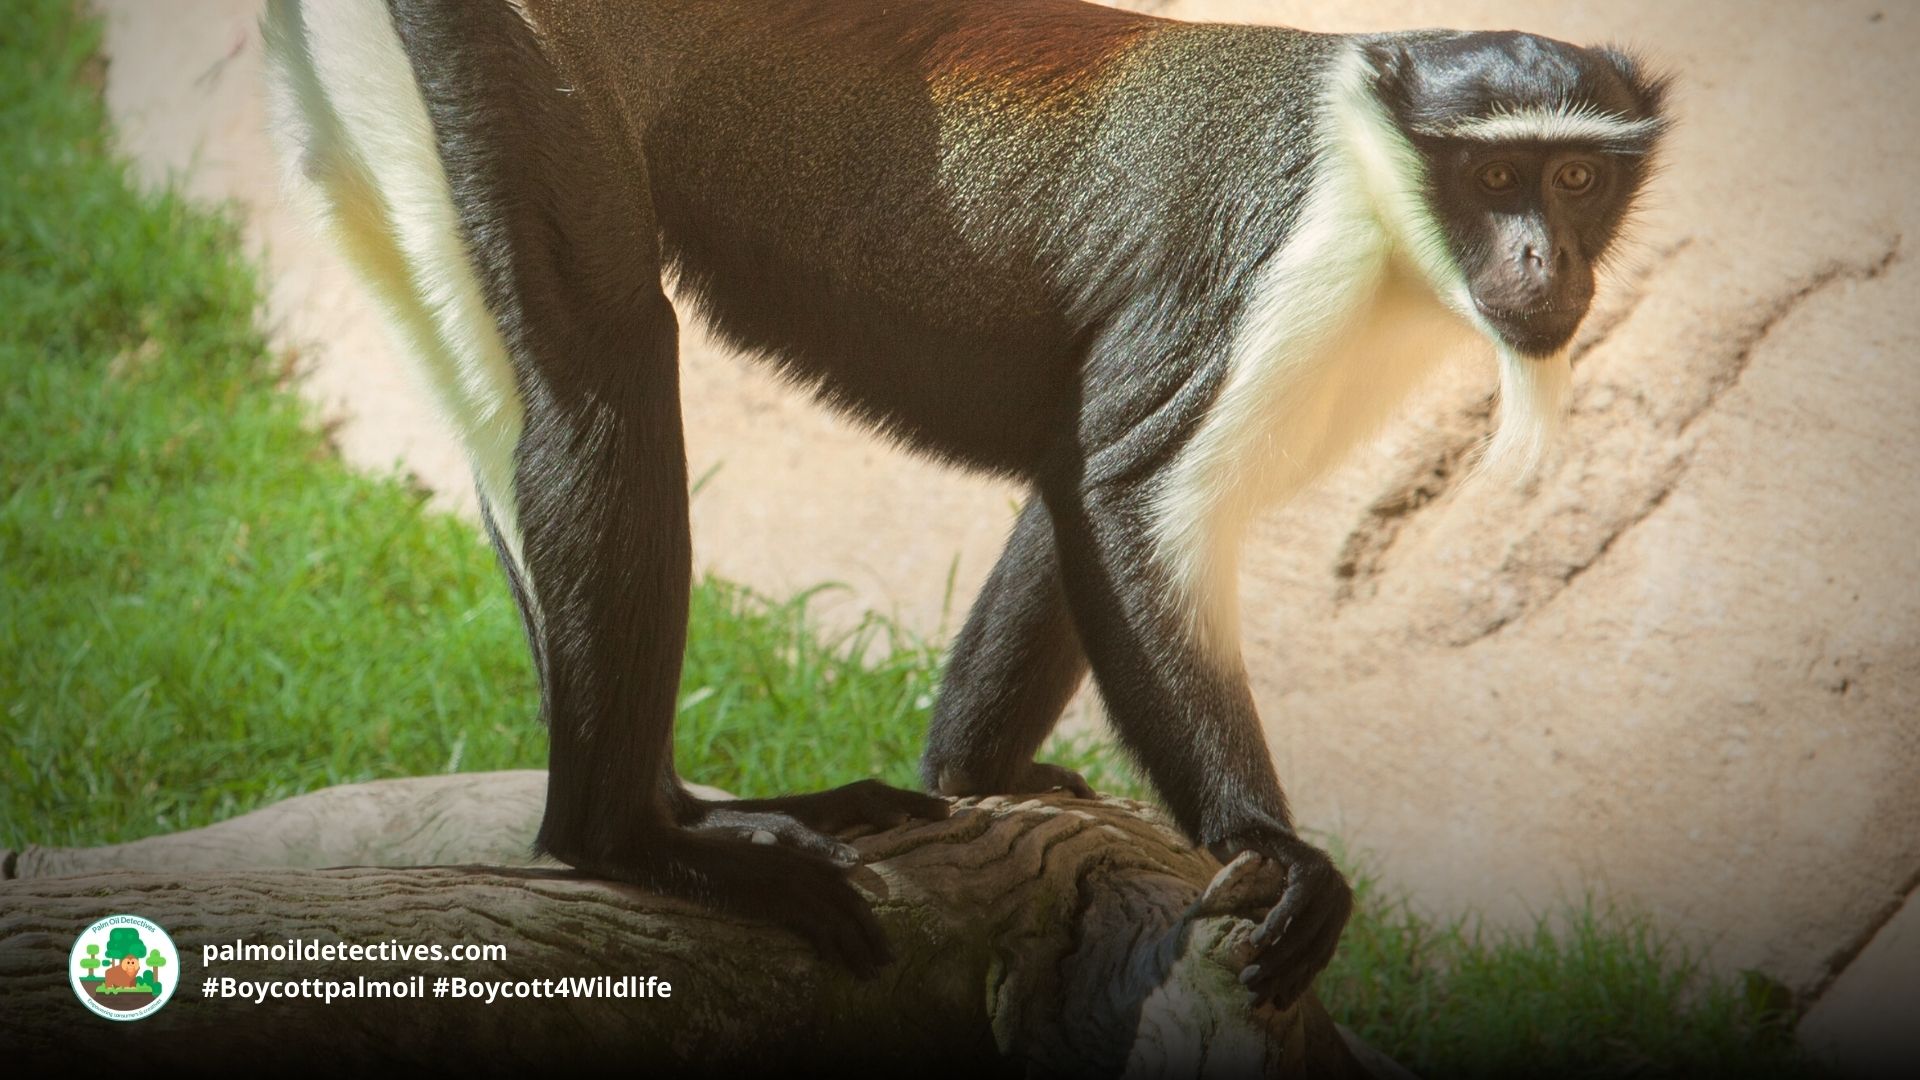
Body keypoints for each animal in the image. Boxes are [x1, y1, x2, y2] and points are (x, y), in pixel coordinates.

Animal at [262, 0, 1668, 1010]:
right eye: (1498, 182)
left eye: (1577, 183)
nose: (1543, 259)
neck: (1378, 181)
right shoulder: (1266, 274)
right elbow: (1123, 490)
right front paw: (1273, 849)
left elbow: (1068, 494)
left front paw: (979, 780)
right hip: (508, 56)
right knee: (602, 366)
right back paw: (626, 839)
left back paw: (687, 812)